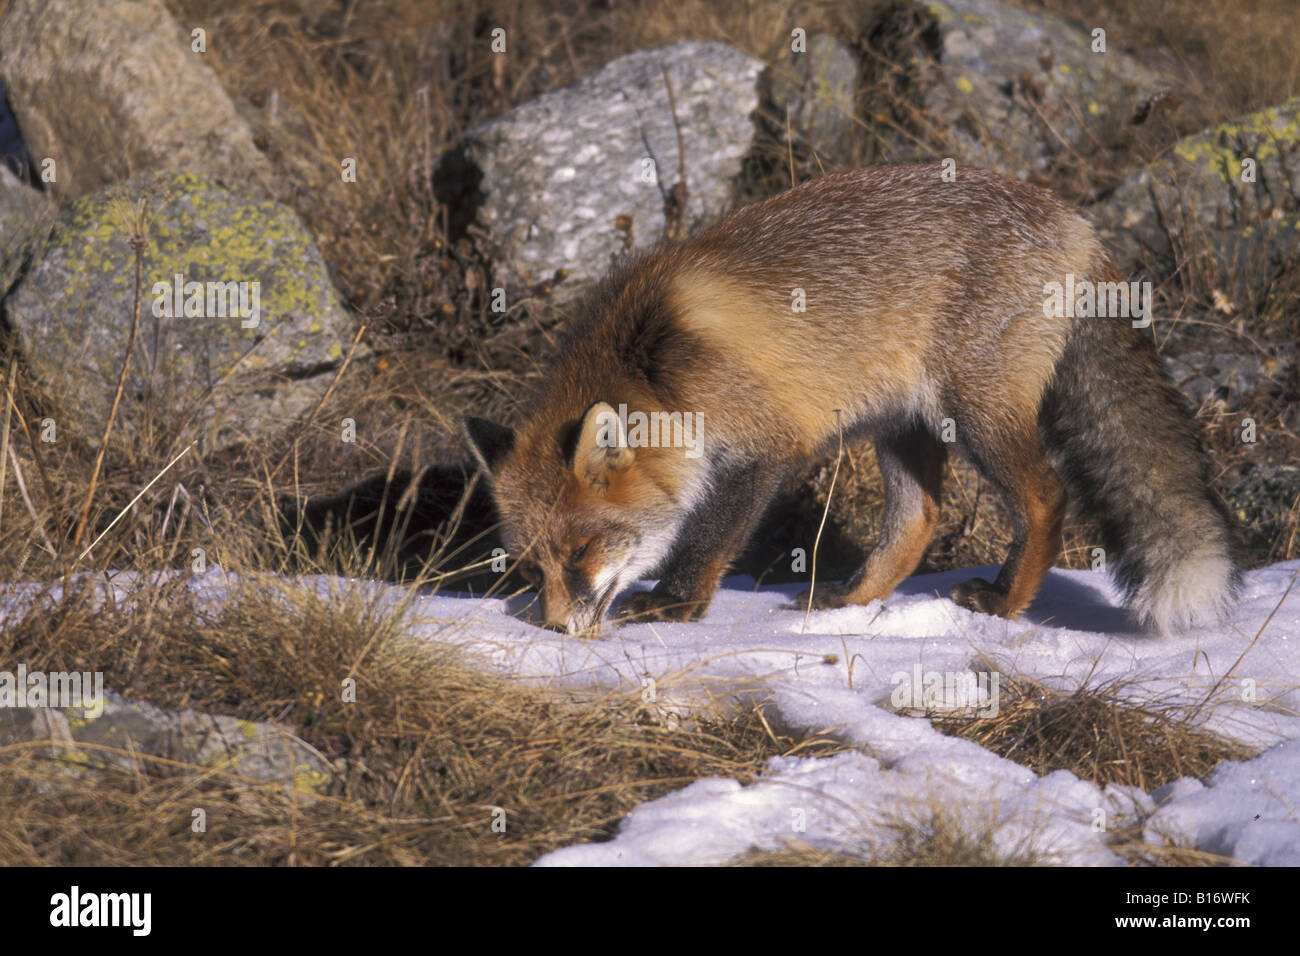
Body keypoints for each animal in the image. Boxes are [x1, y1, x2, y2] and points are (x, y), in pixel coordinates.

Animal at [464, 164, 1239, 636]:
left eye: (582, 550)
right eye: (531, 566)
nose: (555, 628)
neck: (652, 369)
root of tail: (1075, 220)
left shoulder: (761, 445)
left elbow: (708, 538)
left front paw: (676, 607)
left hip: (977, 413)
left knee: (1048, 498)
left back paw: (1005, 602)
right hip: (906, 422)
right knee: (919, 519)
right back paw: (849, 605)